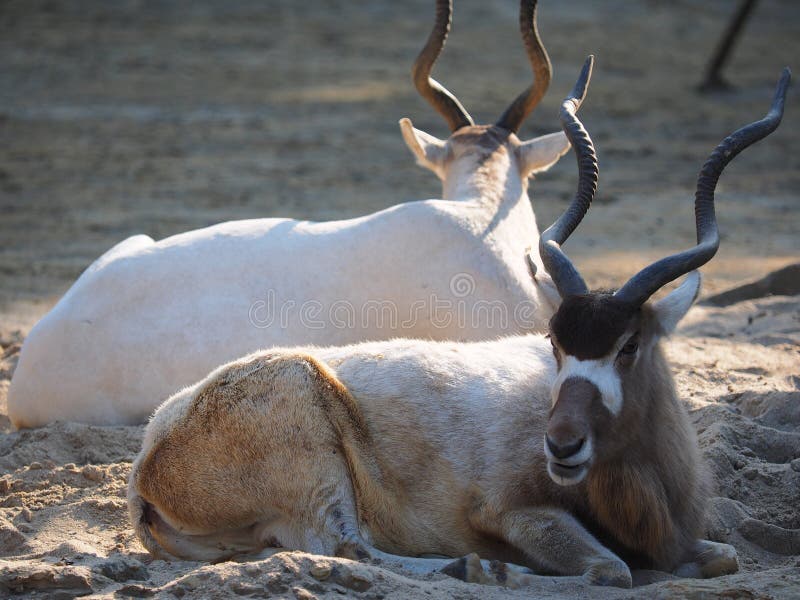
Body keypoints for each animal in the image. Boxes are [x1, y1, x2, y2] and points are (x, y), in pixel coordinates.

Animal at [127, 63, 789, 587]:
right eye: (554, 342)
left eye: (629, 345)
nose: (561, 445)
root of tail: (149, 458)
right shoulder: (513, 511)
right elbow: (611, 568)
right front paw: (499, 565)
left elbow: (725, 555)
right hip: (310, 448)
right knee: (343, 545)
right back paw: (470, 567)